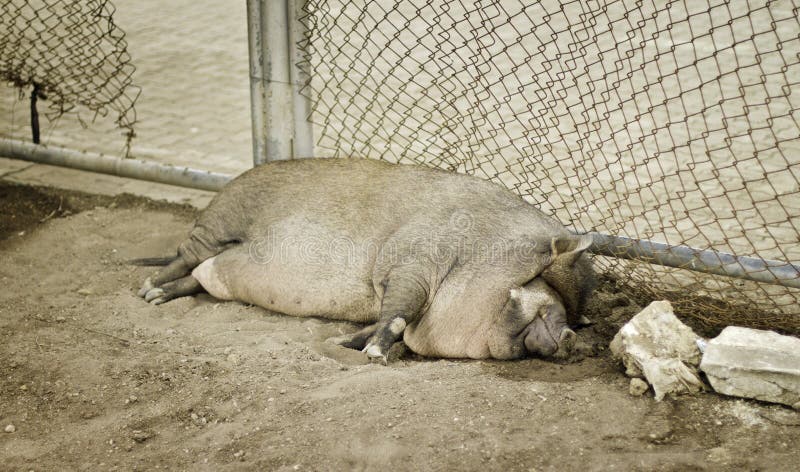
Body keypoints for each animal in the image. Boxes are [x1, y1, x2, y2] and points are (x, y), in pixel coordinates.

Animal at [137, 158, 595, 362]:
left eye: (573, 319)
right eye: (547, 301)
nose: (571, 337)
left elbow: (384, 321)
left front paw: (342, 344)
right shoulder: (411, 261)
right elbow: (397, 314)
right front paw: (374, 355)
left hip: (218, 259)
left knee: (200, 275)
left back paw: (160, 297)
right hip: (221, 220)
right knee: (186, 257)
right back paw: (147, 293)